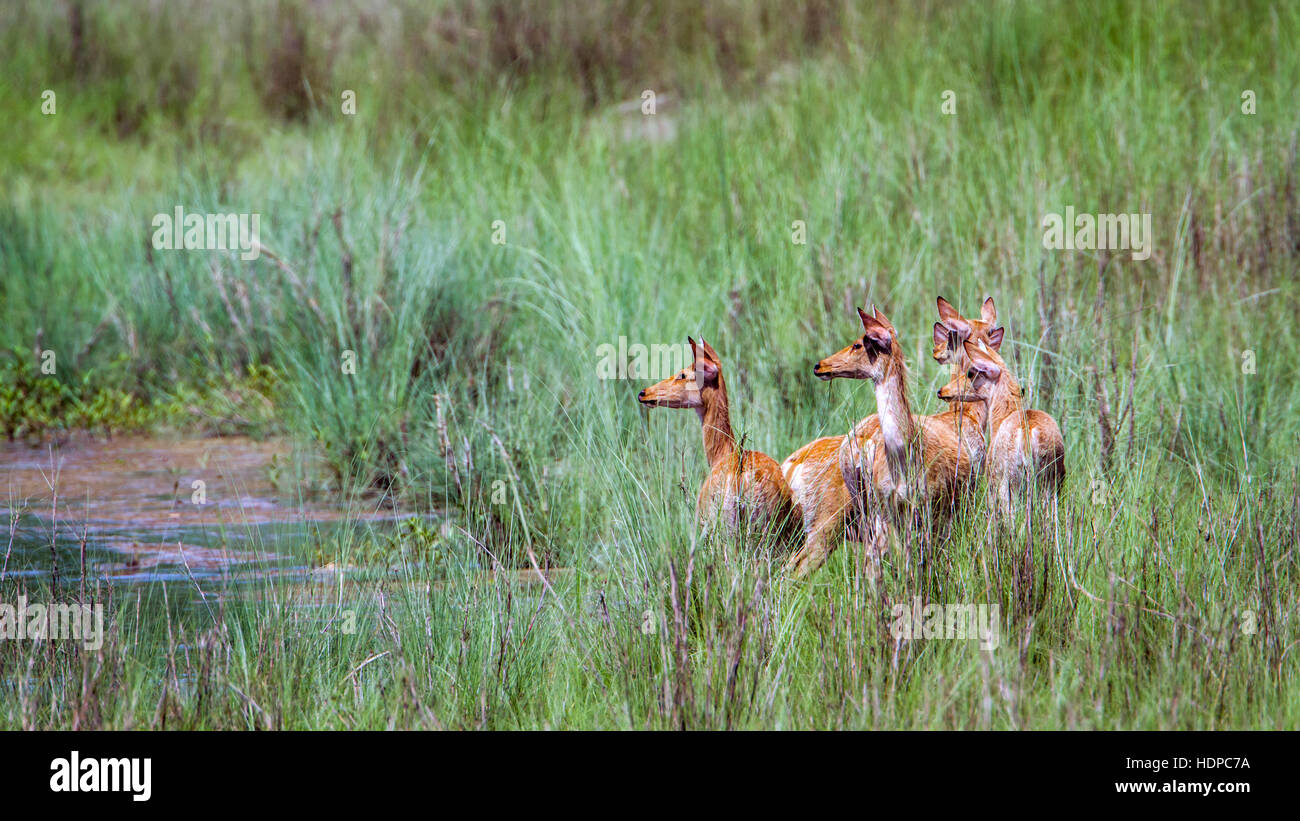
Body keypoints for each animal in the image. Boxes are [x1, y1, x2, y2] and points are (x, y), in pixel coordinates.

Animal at [936, 339, 1065, 515]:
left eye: (971, 372)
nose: (941, 391)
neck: (1002, 417)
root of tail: (1027, 435)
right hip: (1050, 484)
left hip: (1009, 484)